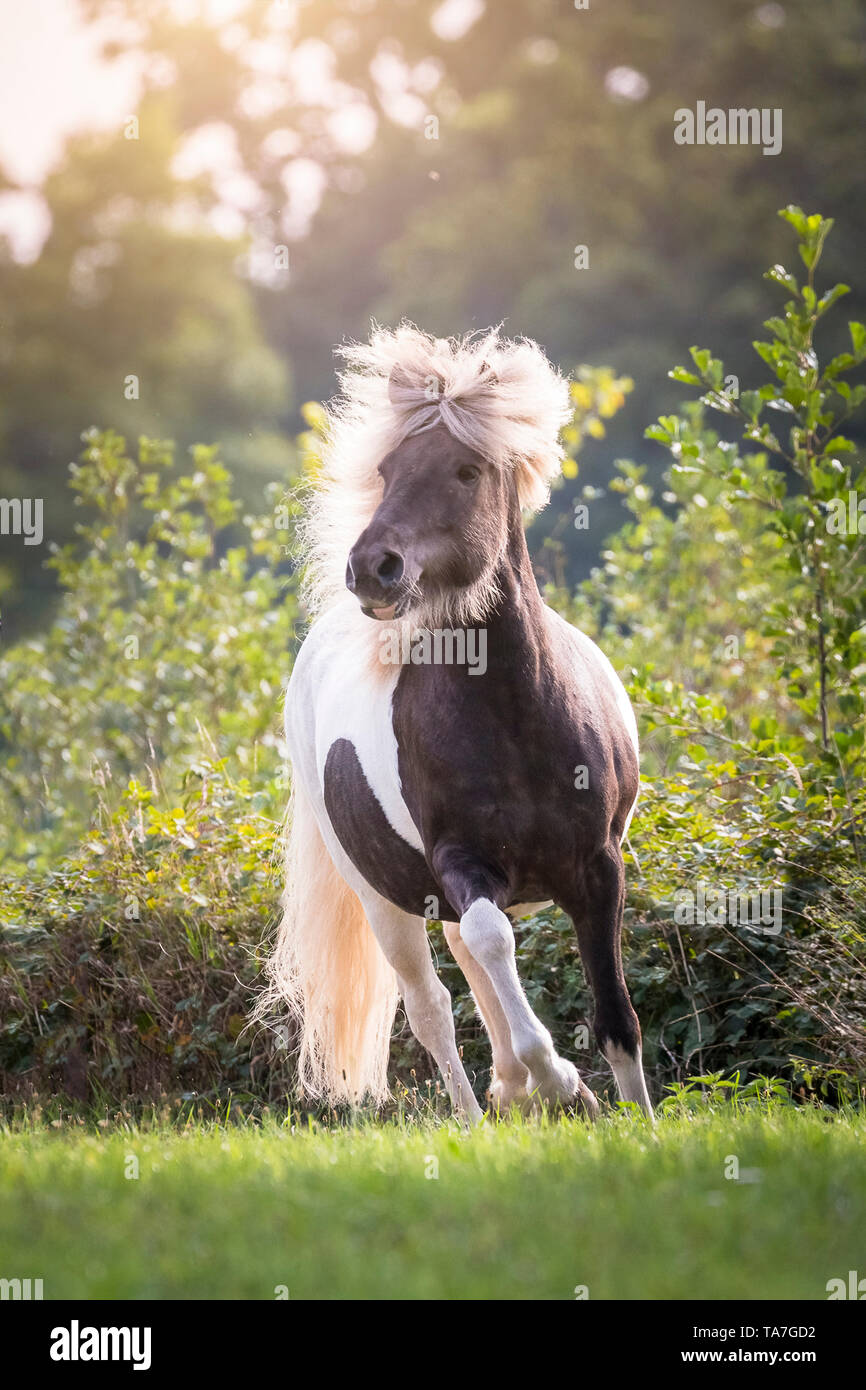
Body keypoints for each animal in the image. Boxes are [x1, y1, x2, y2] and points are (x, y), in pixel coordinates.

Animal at [257, 325, 652, 1122]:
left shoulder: (599, 868)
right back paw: (478, 1117)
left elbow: (616, 1016)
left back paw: (512, 1090)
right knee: (432, 1002)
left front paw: (637, 1118)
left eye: (466, 470)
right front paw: (564, 1084)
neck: (515, 722)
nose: (371, 569)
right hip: (382, 897)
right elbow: (490, 945)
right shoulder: (461, 862)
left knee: (469, 963)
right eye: (386, 468)